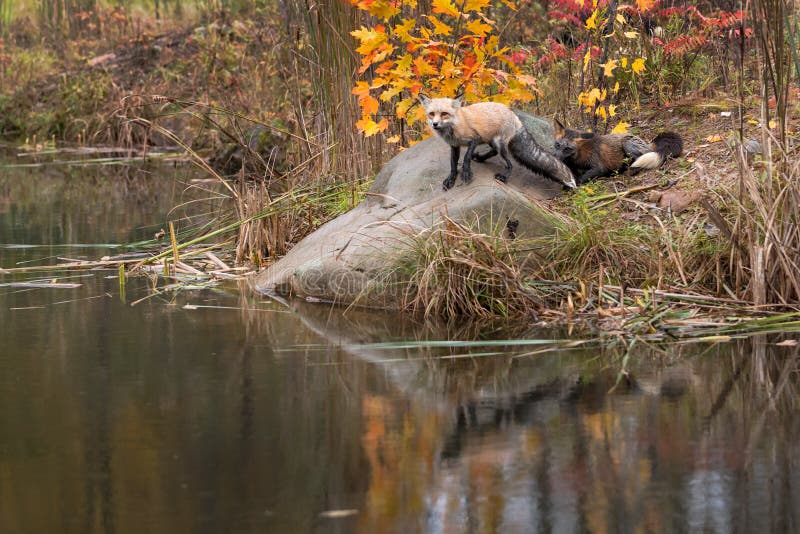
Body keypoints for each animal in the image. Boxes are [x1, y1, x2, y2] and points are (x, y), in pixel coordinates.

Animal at [418, 94, 577, 191]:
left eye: (444, 114)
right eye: (431, 114)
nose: (435, 124)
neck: (455, 126)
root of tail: (515, 116)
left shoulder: (474, 138)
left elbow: (466, 157)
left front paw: (467, 173)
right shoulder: (454, 145)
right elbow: (453, 164)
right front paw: (451, 179)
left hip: (499, 143)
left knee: (509, 164)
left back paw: (504, 177)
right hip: (492, 141)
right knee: (493, 152)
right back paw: (481, 158)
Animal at [553, 119, 683, 184]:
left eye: (567, 148)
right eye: (557, 145)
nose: (555, 157)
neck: (579, 156)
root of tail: (648, 143)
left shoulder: (598, 167)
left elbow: (582, 178)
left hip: (627, 144)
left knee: (638, 161)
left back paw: (627, 170)